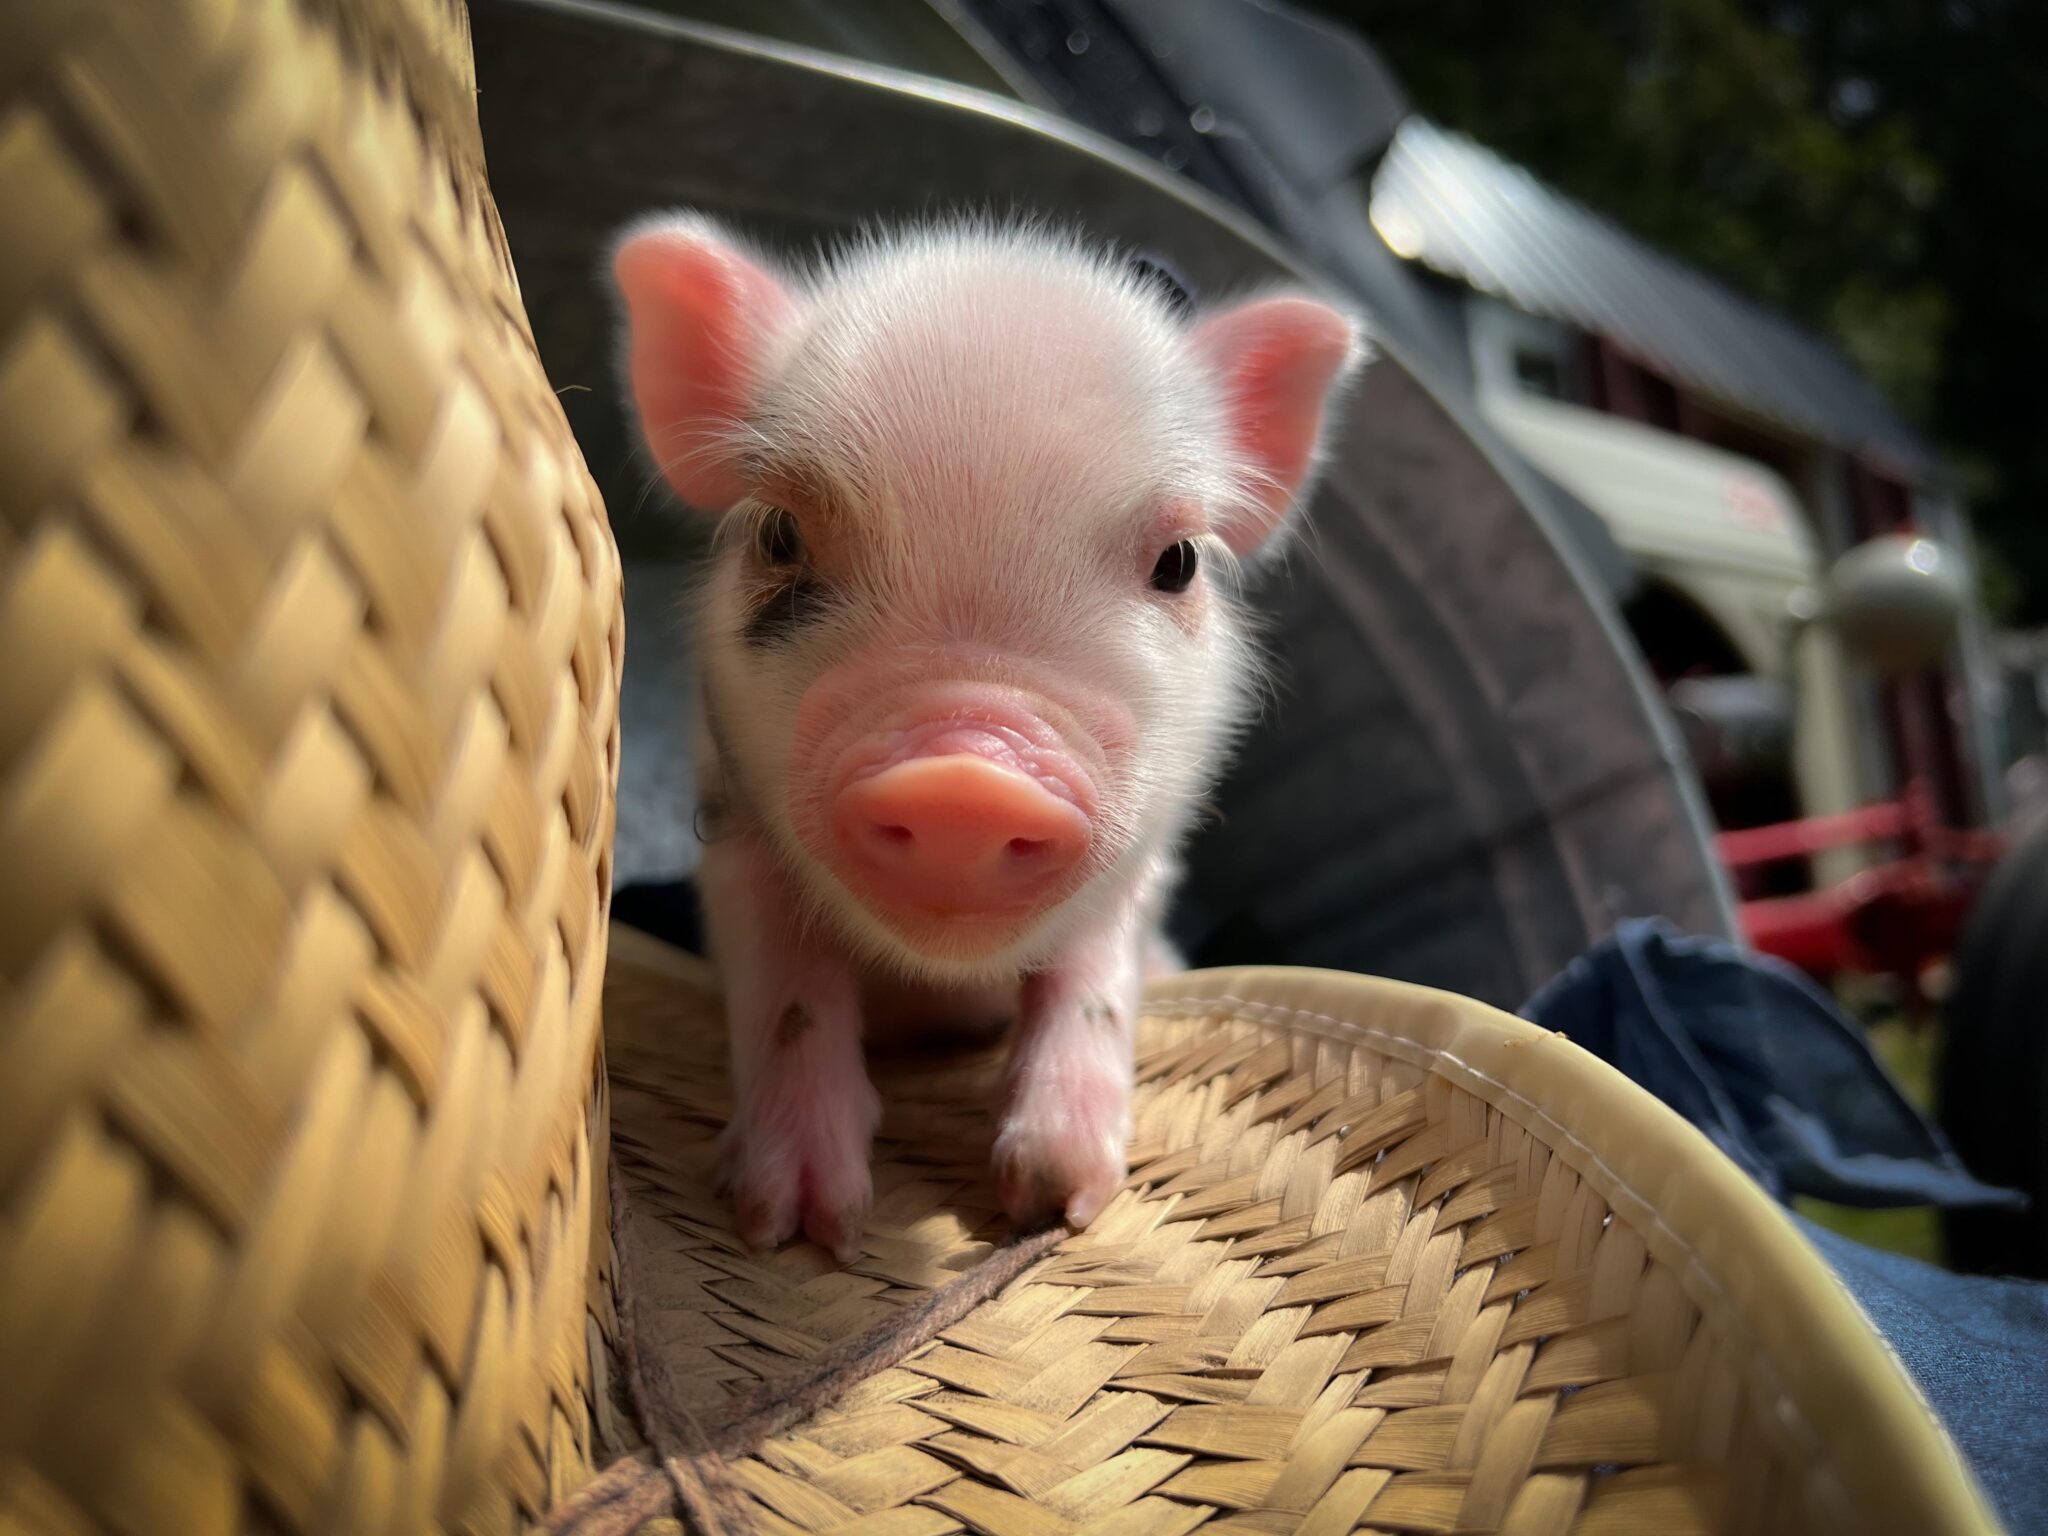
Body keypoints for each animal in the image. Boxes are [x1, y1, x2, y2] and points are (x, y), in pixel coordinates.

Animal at [611, 214, 1362, 1259]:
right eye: (778, 536)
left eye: (1176, 563)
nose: (967, 778)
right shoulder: (734, 835)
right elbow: (788, 983)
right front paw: (801, 1229)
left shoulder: (1145, 860)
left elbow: (1092, 973)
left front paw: (1057, 1200)